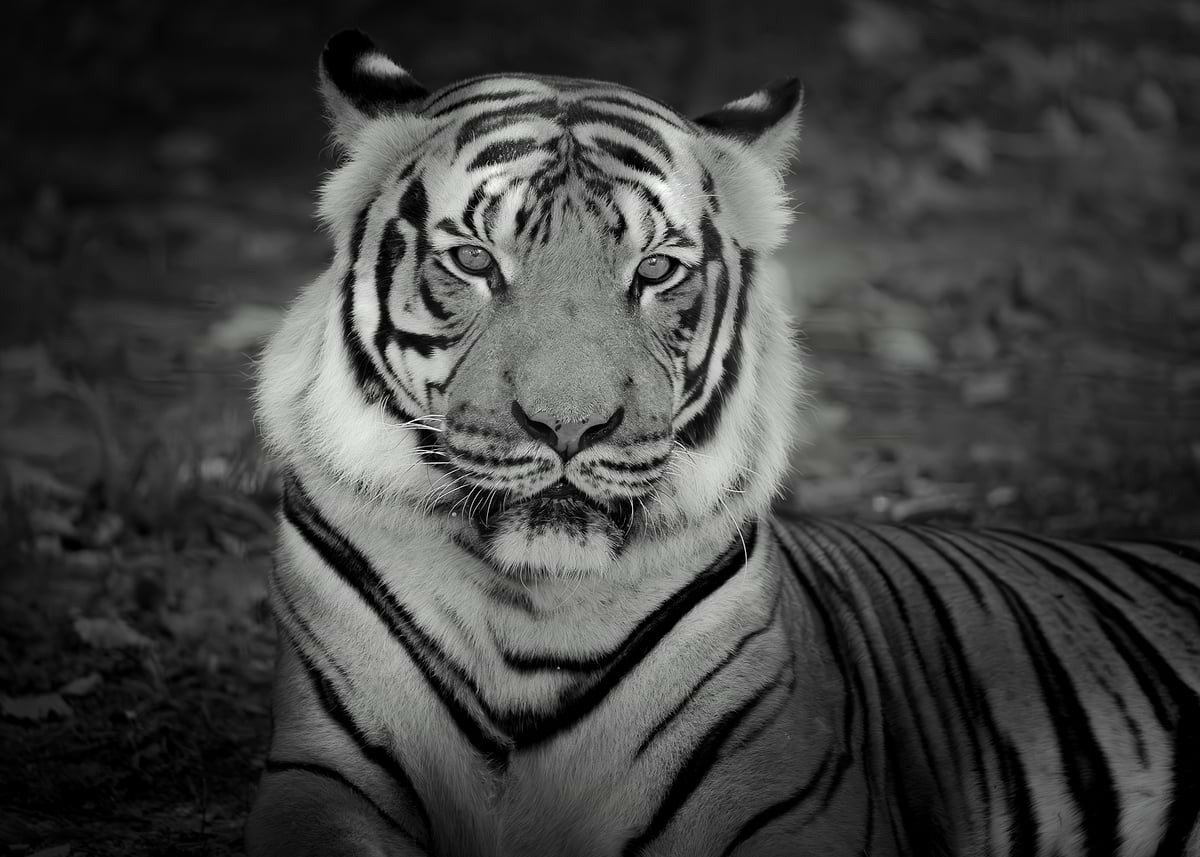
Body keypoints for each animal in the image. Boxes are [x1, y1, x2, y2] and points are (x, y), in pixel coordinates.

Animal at [246, 28, 1200, 857]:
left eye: (656, 270)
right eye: (476, 261)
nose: (569, 425)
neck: (528, 616)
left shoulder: (786, 802)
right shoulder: (321, 775)